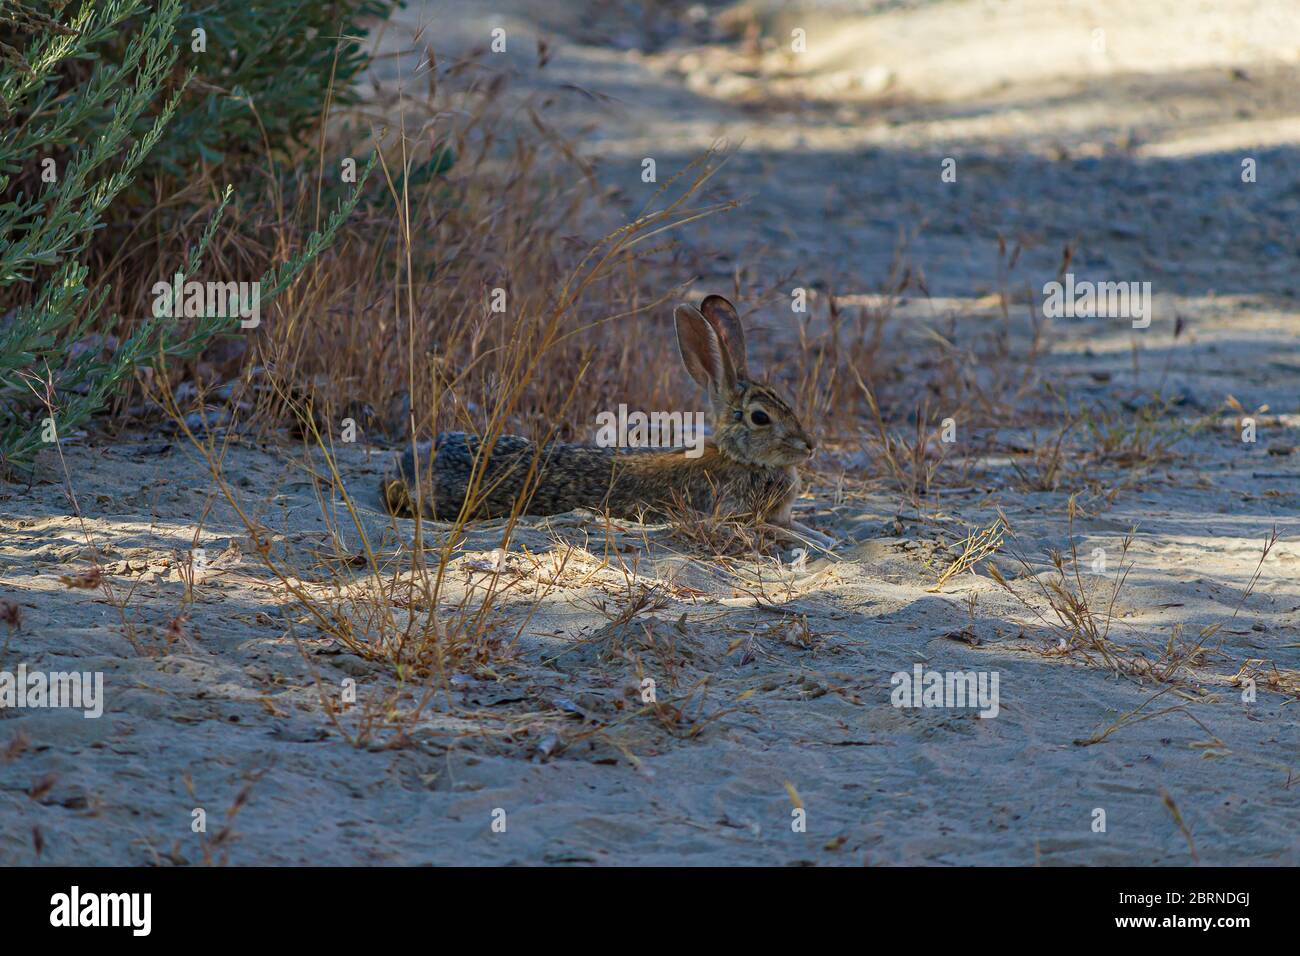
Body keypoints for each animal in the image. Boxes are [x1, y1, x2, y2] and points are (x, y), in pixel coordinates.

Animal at [381, 294, 835, 549]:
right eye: (761, 417)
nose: (810, 446)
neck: (740, 459)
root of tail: (408, 467)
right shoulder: (736, 515)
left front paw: (829, 537)